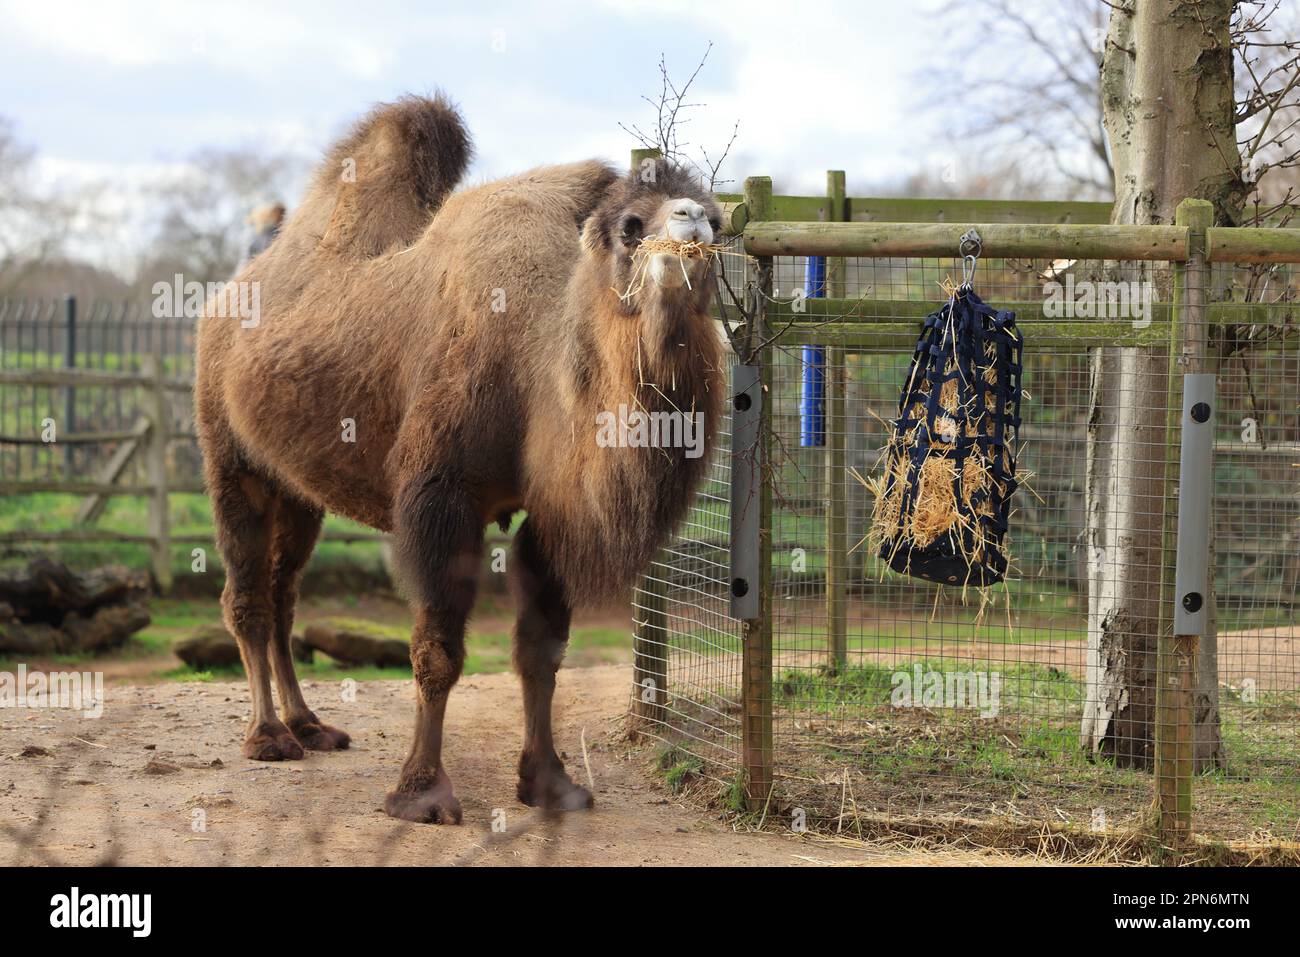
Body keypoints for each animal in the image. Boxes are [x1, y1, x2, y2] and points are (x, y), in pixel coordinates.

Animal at [195, 95, 725, 823]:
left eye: (720, 219)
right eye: (630, 226)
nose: (693, 219)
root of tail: (225, 298)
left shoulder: (547, 511)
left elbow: (541, 652)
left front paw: (550, 783)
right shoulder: (441, 493)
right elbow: (437, 650)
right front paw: (422, 792)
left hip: (296, 488)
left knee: (283, 591)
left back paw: (310, 725)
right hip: (230, 456)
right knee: (245, 592)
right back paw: (269, 736)